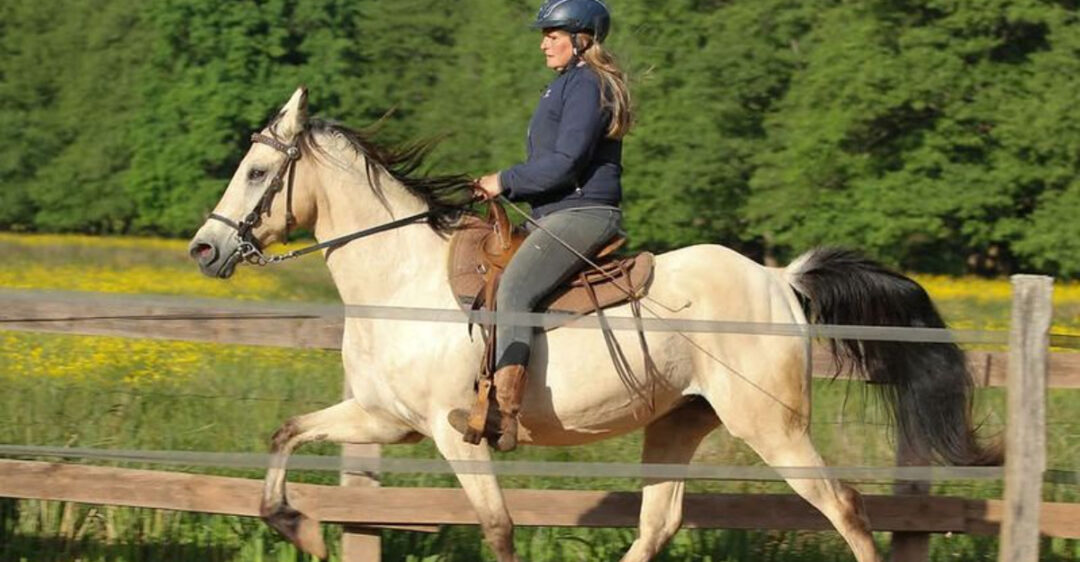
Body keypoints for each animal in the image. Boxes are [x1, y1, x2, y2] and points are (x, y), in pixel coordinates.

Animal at [188, 88, 999, 562]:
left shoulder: (456, 435)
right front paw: (300, 526)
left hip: (773, 428)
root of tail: (779, 279)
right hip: (679, 424)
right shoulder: (384, 420)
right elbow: (286, 434)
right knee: (658, 526)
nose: (204, 248)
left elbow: (498, 528)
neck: (400, 283)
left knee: (846, 510)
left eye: (257, 172)